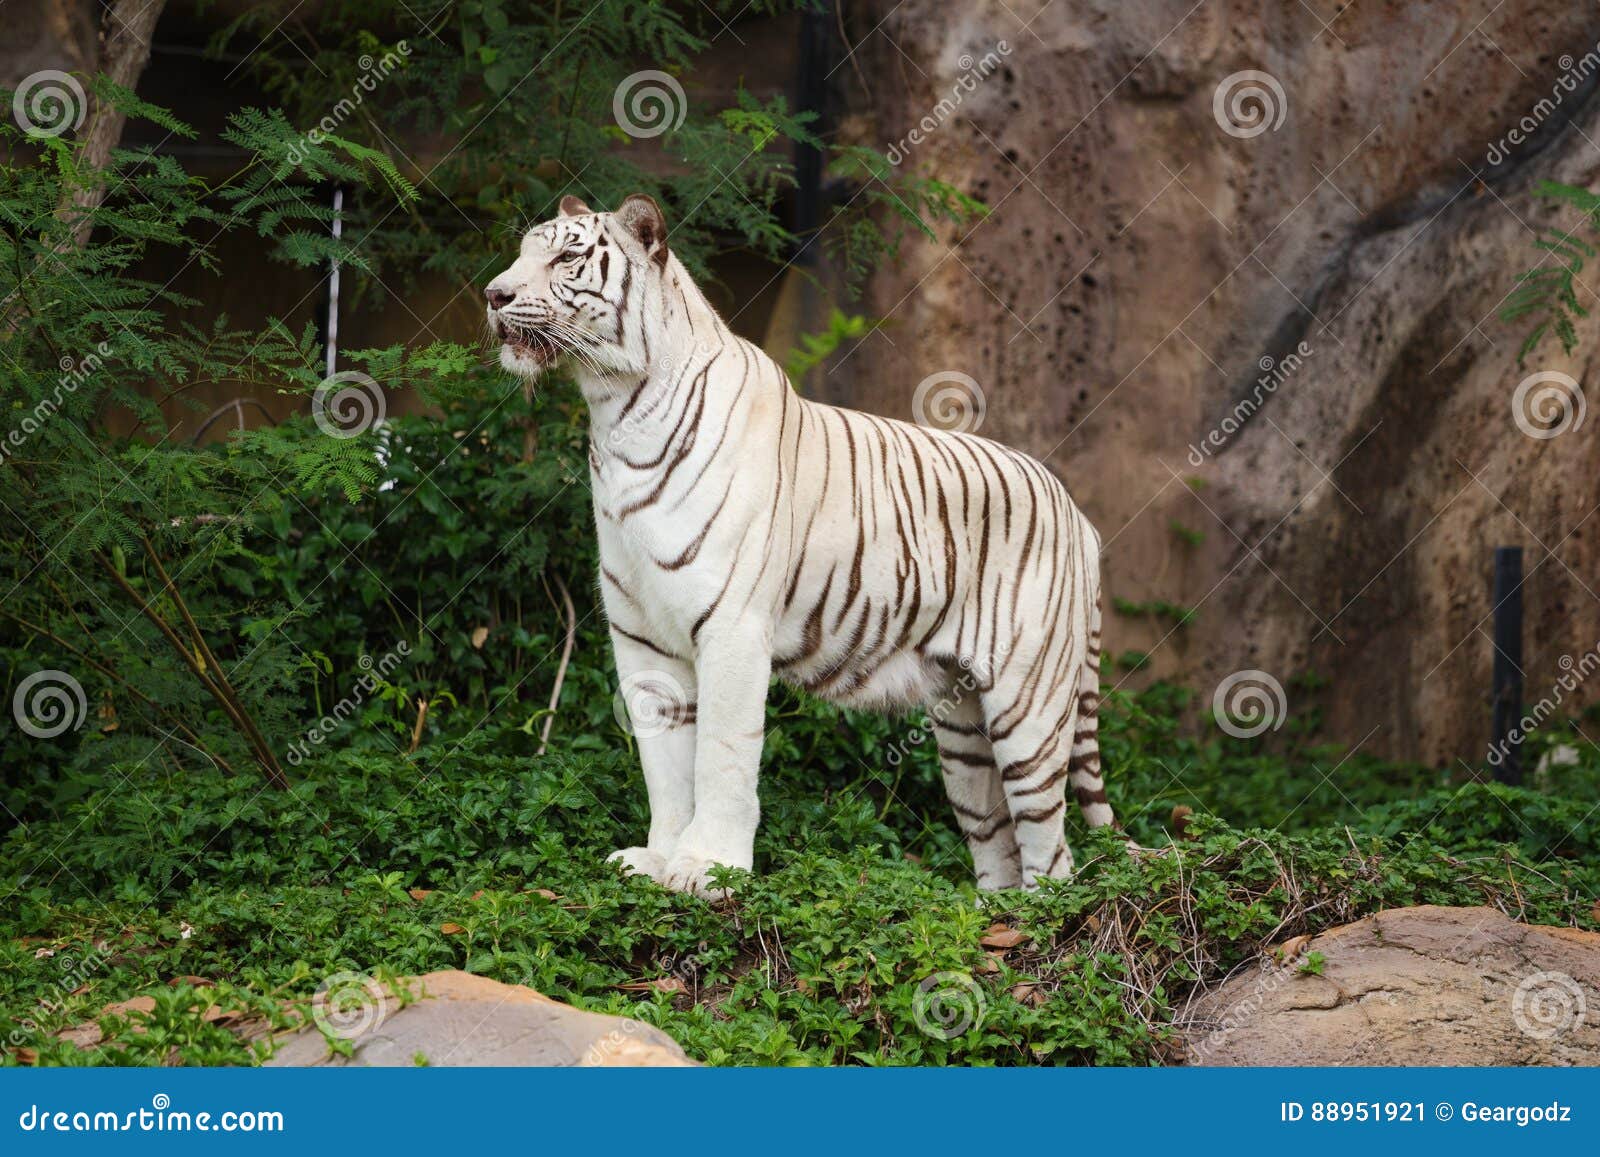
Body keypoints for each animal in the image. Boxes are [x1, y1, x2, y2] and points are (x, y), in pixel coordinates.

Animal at [485, 193, 1116, 895]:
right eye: (524, 251)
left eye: (565, 258)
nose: (493, 294)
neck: (616, 409)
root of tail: (1076, 510)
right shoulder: (642, 638)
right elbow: (666, 763)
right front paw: (658, 860)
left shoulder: (731, 626)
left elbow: (722, 755)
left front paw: (708, 870)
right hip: (961, 723)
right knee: (995, 837)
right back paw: (993, 911)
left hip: (1027, 703)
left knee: (1052, 849)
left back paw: (1040, 912)